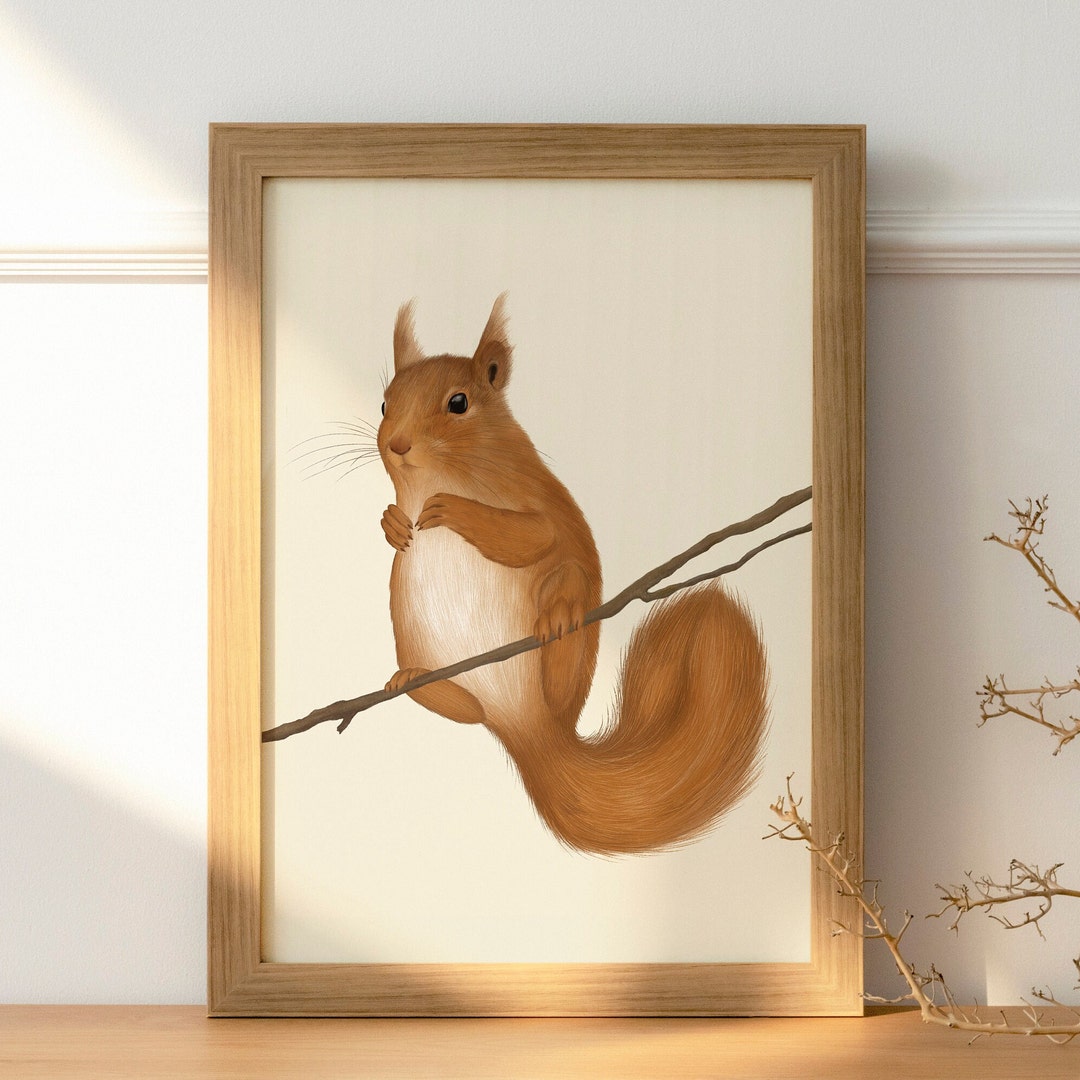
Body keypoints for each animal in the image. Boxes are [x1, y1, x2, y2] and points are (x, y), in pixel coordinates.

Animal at [376, 295, 769, 855]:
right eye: (383, 404)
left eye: (459, 403)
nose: (397, 444)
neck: (436, 478)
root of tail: (527, 726)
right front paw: (391, 523)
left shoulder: (539, 507)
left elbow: (530, 535)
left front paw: (452, 508)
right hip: (412, 634)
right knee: (467, 710)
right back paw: (414, 680)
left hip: (568, 603)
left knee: (560, 649)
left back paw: (557, 626)